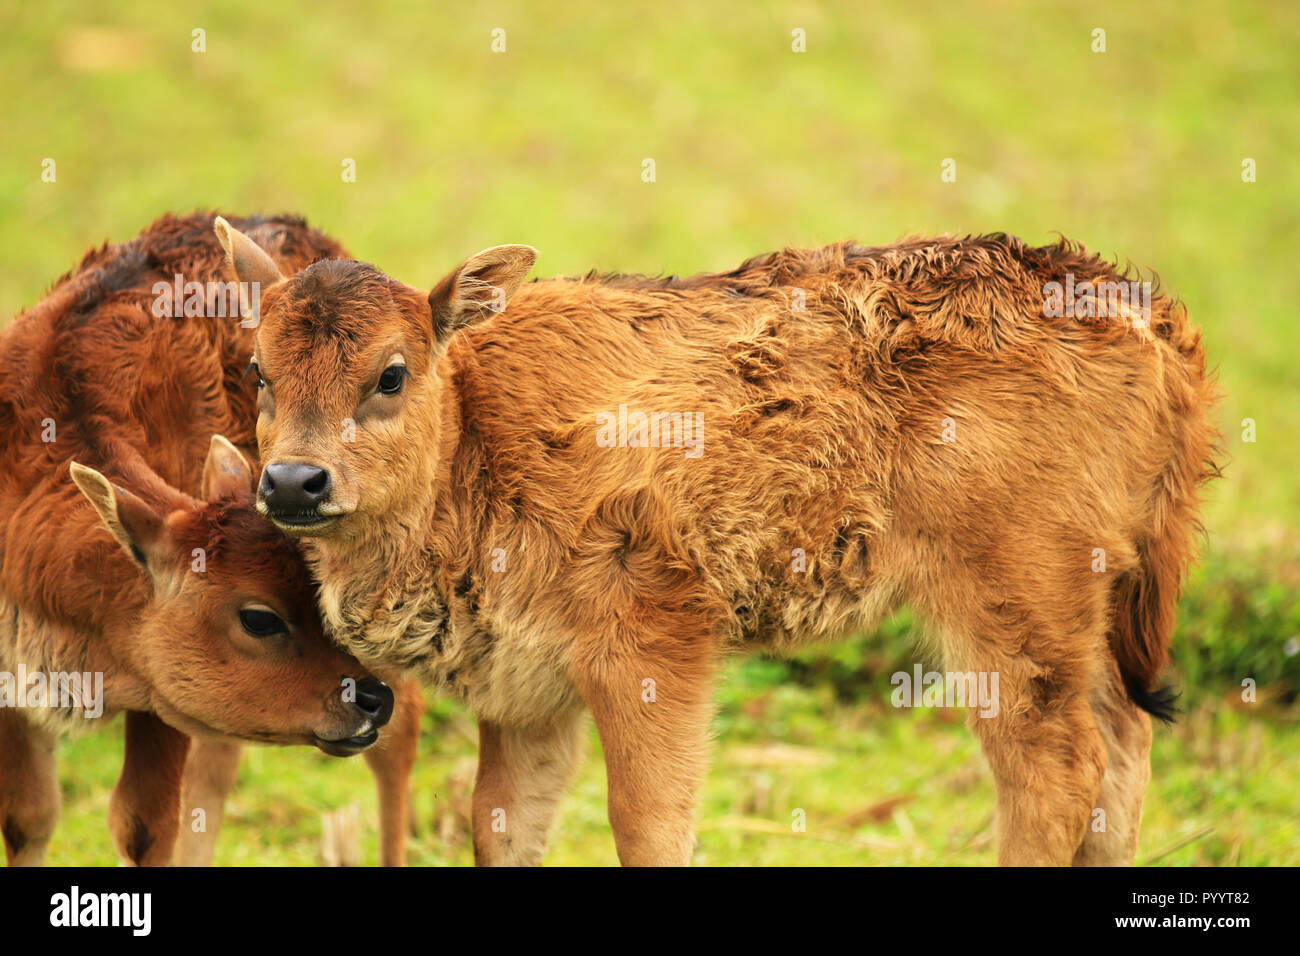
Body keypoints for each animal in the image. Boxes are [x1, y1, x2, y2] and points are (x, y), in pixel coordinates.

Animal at [216, 219, 1219, 866]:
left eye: (391, 374)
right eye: (259, 371)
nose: (294, 483)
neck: (471, 429)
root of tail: (1147, 316)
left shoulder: (653, 652)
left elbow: (647, 823)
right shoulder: (524, 690)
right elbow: (502, 822)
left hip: (1008, 608)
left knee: (1054, 767)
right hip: (1086, 614)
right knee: (1121, 746)